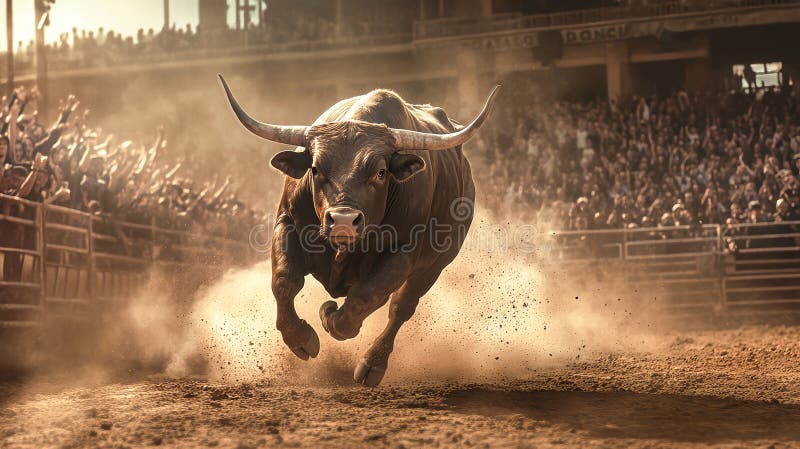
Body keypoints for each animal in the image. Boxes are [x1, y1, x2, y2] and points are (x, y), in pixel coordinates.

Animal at [219, 75, 500, 386]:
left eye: (380, 172)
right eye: (315, 169)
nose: (343, 220)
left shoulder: (405, 253)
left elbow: (364, 299)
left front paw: (329, 315)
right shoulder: (286, 223)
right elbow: (284, 281)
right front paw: (302, 340)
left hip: (436, 265)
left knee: (402, 307)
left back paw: (372, 365)